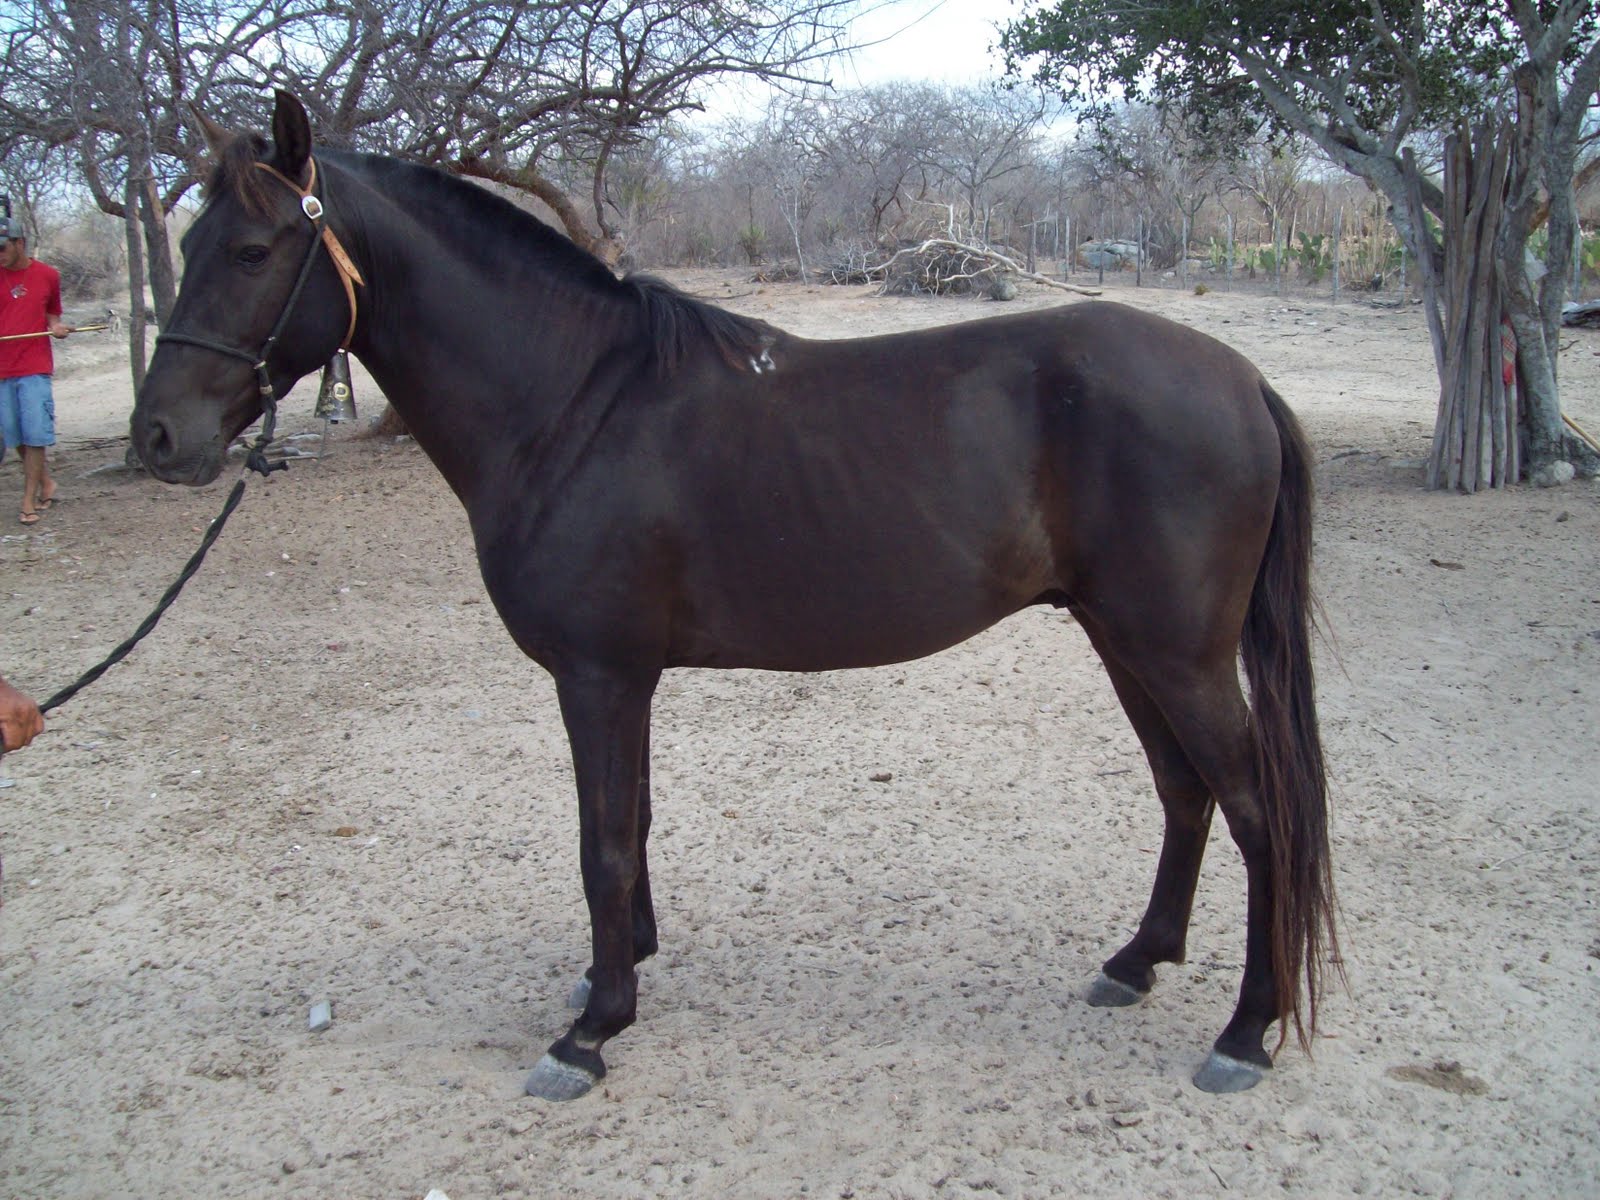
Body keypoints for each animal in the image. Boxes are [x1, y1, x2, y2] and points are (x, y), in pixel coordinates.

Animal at [131, 91, 1338, 1101]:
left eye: (251, 250)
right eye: (186, 246)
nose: (159, 439)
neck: (572, 405)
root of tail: (1241, 378)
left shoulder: (598, 676)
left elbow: (602, 843)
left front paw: (592, 1032)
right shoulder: (624, 679)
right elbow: (630, 823)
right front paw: (613, 975)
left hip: (1175, 652)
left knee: (1256, 810)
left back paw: (1243, 1034)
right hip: (1123, 641)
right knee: (1184, 794)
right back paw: (1136, 964)